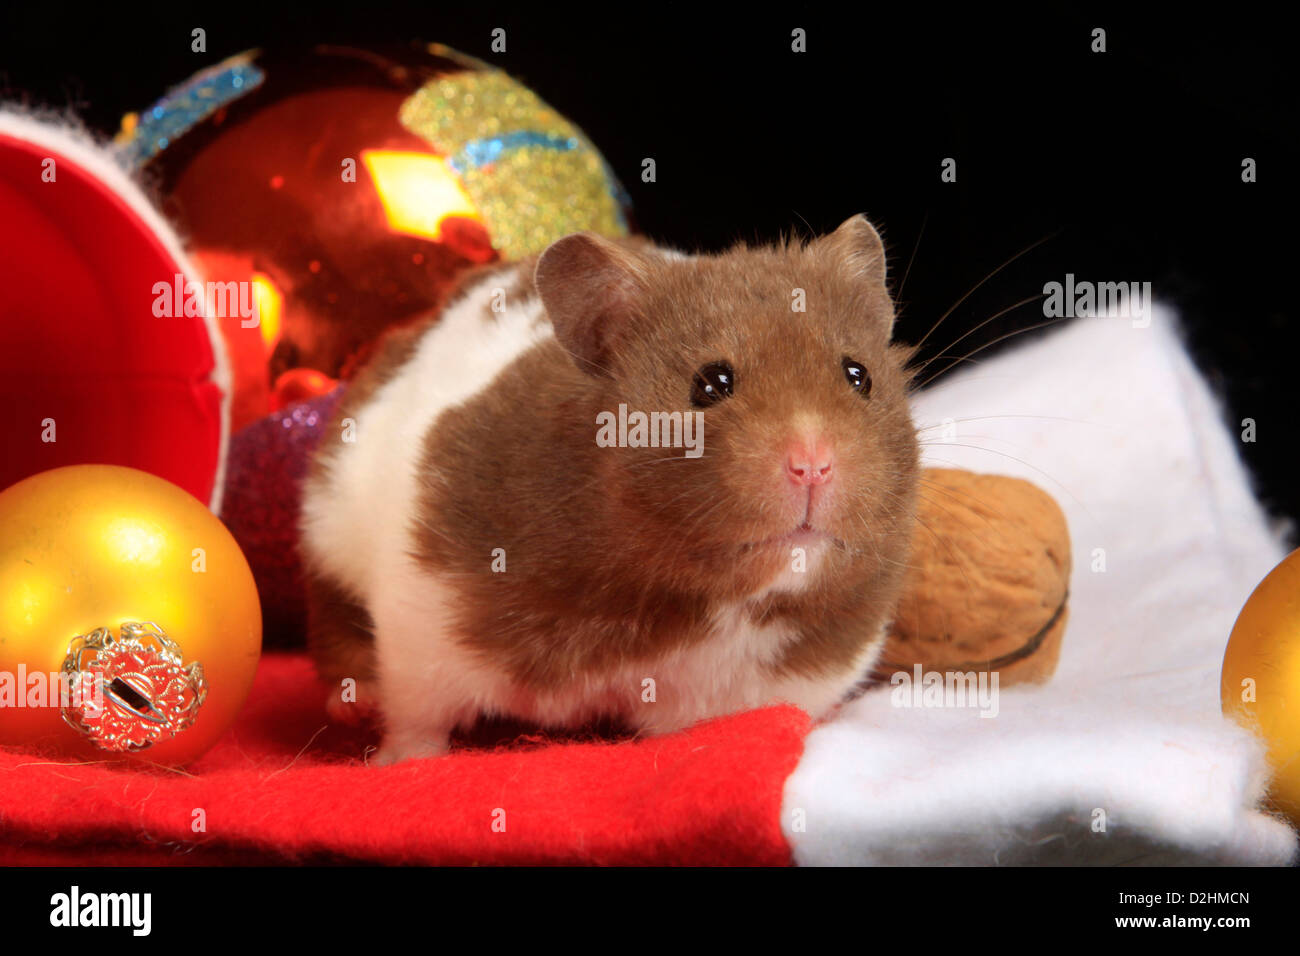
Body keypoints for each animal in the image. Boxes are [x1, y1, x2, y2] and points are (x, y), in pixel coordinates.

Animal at [299, 214, 920, 765]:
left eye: (859, 376)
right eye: (710, 384)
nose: (814, 465)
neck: (701, 602)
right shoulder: (426, 611)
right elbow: (418, 714)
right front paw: (400, 763)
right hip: (327, 524)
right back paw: (352, 705)